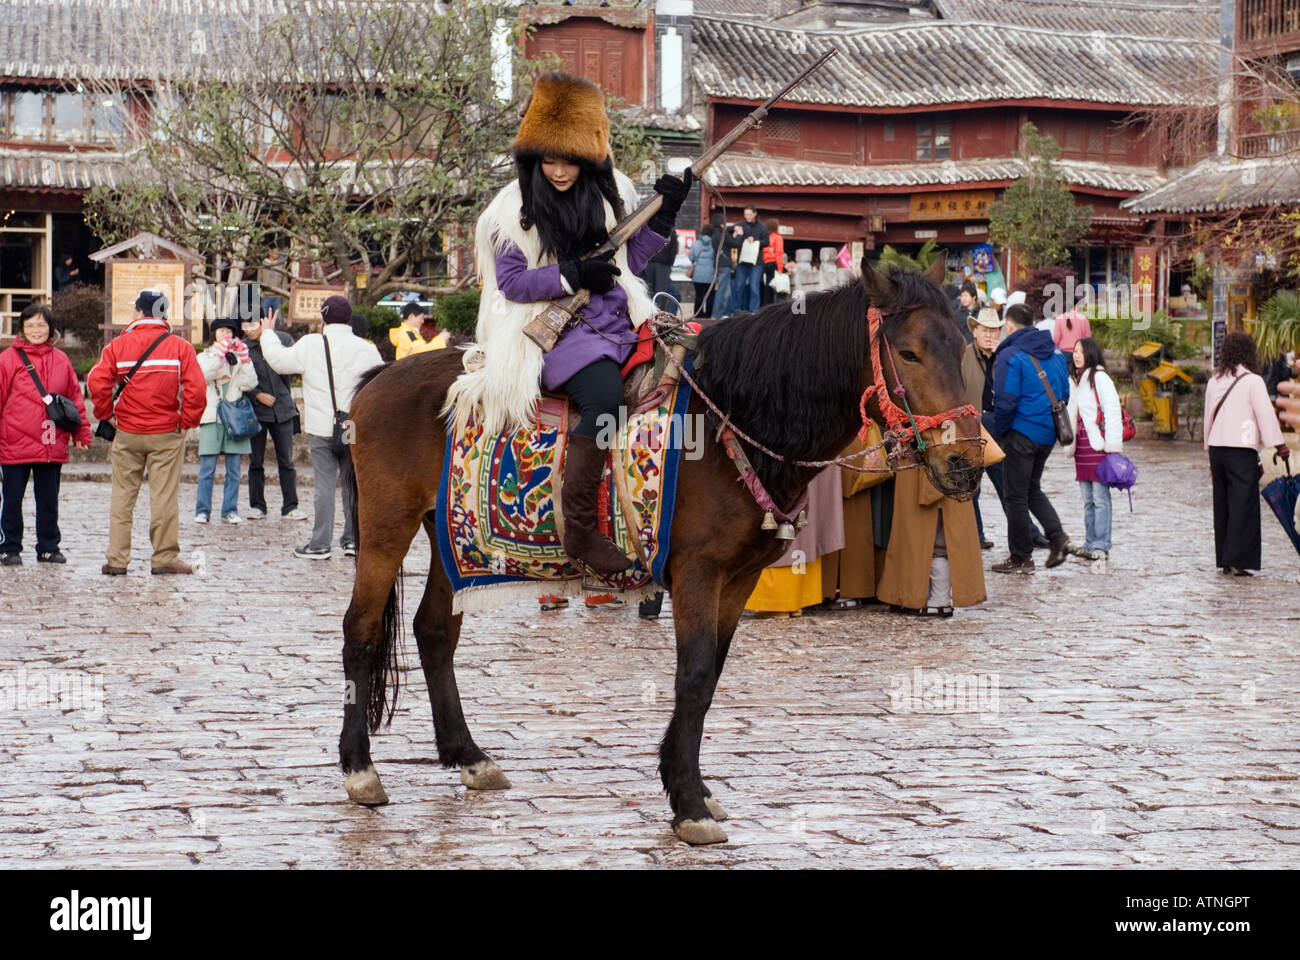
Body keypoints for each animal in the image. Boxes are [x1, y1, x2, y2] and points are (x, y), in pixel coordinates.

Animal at [337, 256, 982, 845]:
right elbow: (693, 675)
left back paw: (468, 755)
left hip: (450, 536)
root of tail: (376, 380)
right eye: (910, 353)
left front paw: (687, 784)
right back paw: (360, 770)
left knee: (434, 631)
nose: (965, 463)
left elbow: (710, 675)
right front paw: (689, 804)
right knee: (361, 631)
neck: (729, 420)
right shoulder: (698, 571)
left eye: (964, 352)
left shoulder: (739, 578)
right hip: (387, 527)